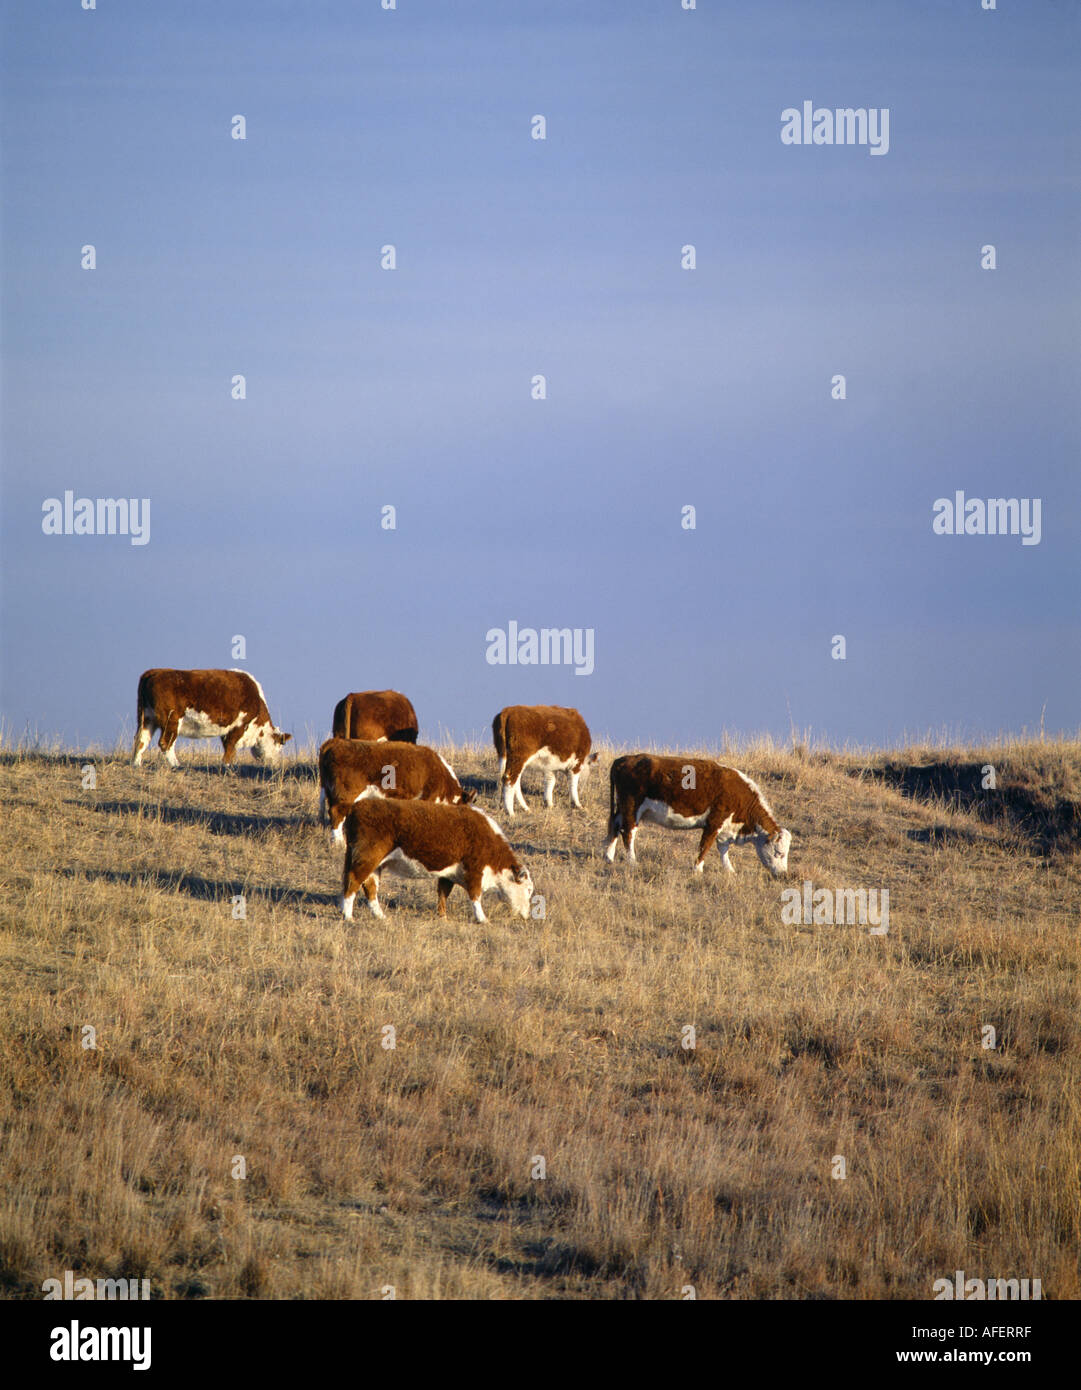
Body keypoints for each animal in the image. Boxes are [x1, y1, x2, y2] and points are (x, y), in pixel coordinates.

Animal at [132, 668, 291, 767]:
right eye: (279, 746)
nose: (275, 764)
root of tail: (155, 671)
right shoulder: (238, 726)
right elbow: (230, 749)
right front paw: (227, 766)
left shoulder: (226, 730)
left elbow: (227, 747)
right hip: (171, 720)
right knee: (165, 743)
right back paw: (177, 765)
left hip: (147, 718)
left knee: (141, 740)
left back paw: (136, 764)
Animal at [337, 798, 534, 923]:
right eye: (528, 889)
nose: (527, 915)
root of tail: (357, 807)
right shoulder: (474, 870)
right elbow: (475, 896)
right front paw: (482, 919)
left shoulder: (449, 873)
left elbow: (443, 893)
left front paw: (442, 916)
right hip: (367, 857)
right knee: (353, 881)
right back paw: (348, 916)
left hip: (374, 863)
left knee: (370, 887)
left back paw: (380, 916)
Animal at [604, 754, 792, 876]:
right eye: (779, 853)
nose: (783, 874)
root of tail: (623, 759)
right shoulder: (714, 822)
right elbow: (705, 846)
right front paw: (697, 870)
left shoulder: (725, 828)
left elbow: (723, 849)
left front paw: (730, 870)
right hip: (632, 806)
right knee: (628, 832)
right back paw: (632, 862)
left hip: (622, 806)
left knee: (615, 825)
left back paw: (609, 857)